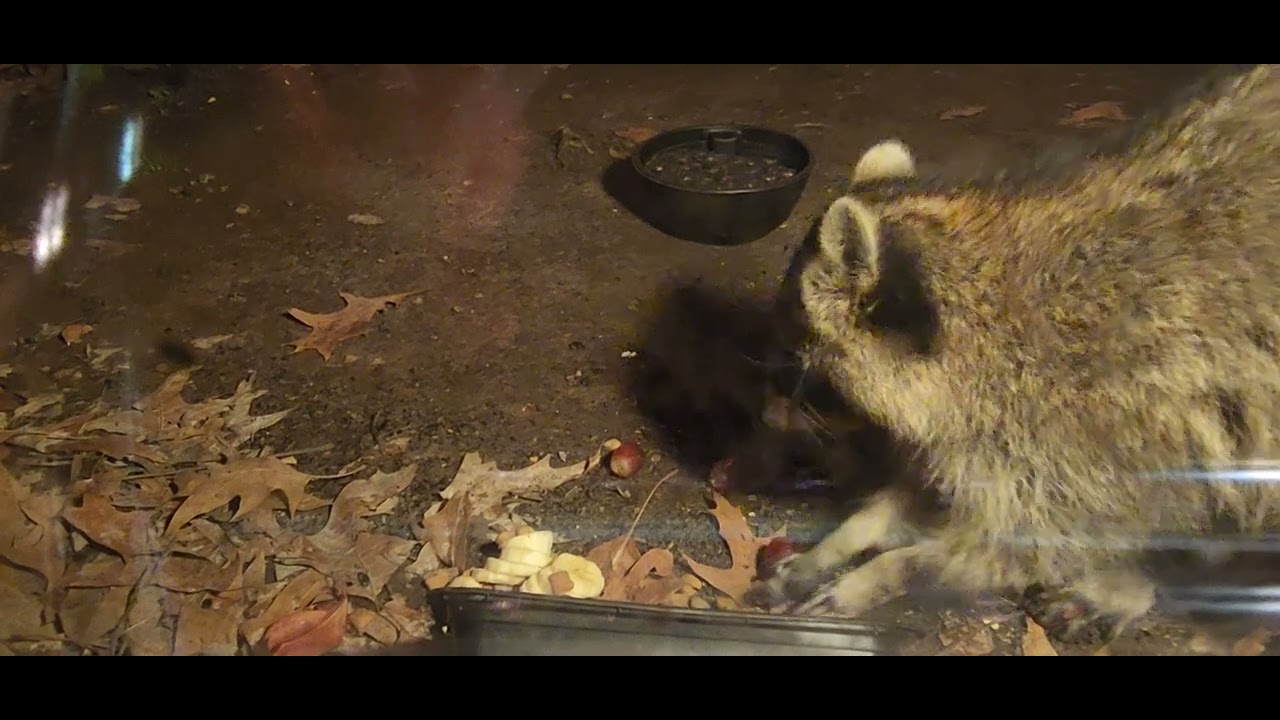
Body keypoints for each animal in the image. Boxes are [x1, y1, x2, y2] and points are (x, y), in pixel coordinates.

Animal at [748, 64, 1280, 642]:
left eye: (794, 365)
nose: (764, 417)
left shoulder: (1083, 436)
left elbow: (1023, 546)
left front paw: (887, 570)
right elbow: (928, 498)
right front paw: (850, 535)